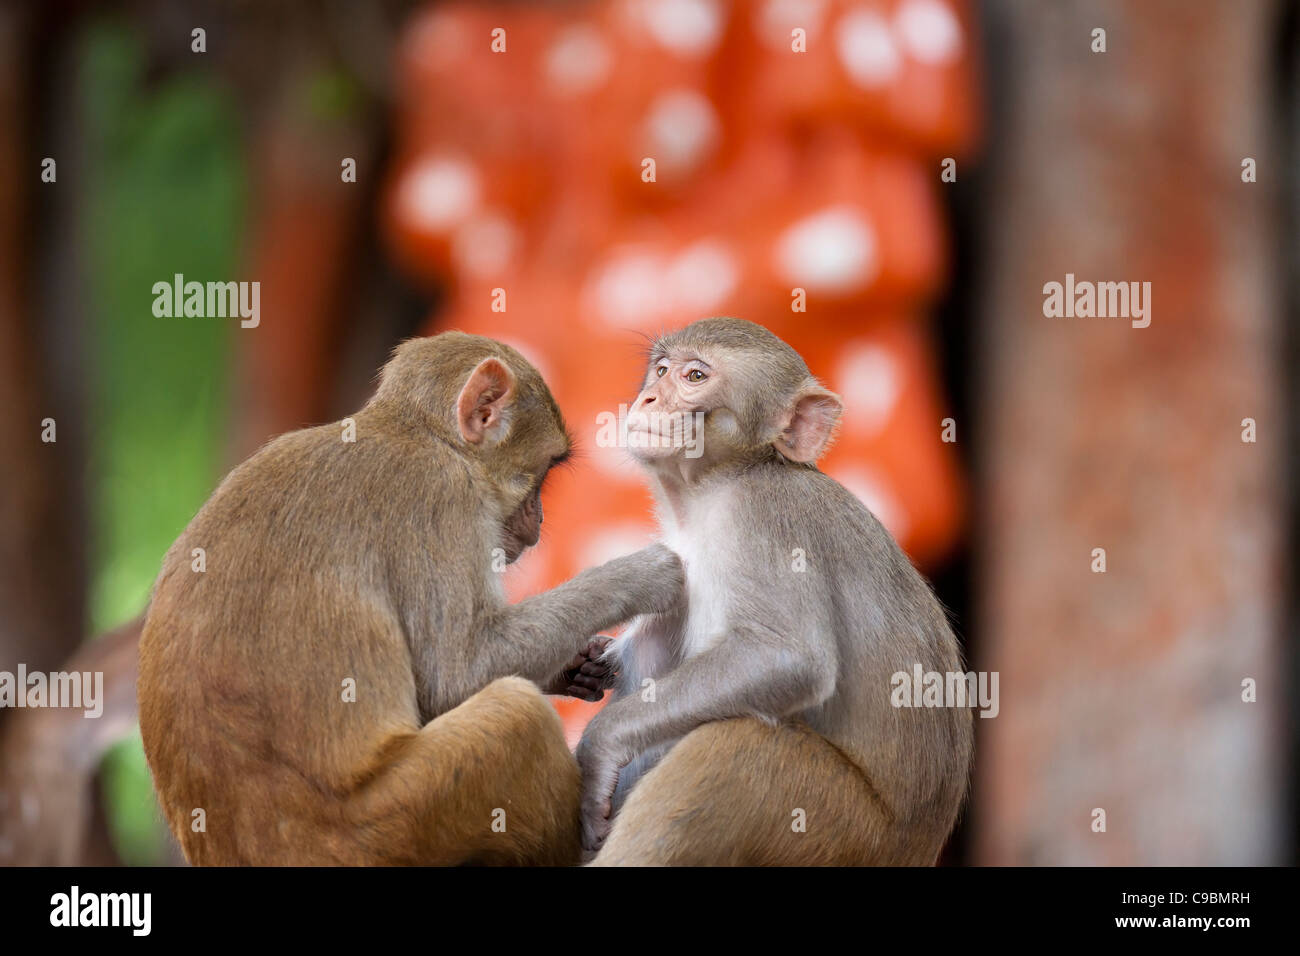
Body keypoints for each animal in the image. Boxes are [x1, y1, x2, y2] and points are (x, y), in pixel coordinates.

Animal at [137, 331, 684, 866]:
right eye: (546, 469)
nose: (540, 520)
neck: (417, 435)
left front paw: (578, 665)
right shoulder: (443, 494)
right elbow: (458, 671)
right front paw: (639, 576)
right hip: (390, 829)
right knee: (515, 714)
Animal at [575, 317, 973, 865]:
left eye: (695, 376)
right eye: (660, 370)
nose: (649, 398)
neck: (720, 483)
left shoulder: (764, 518)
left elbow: (787, 658)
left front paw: (599, 747)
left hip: (838, 828)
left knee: (732, 746)